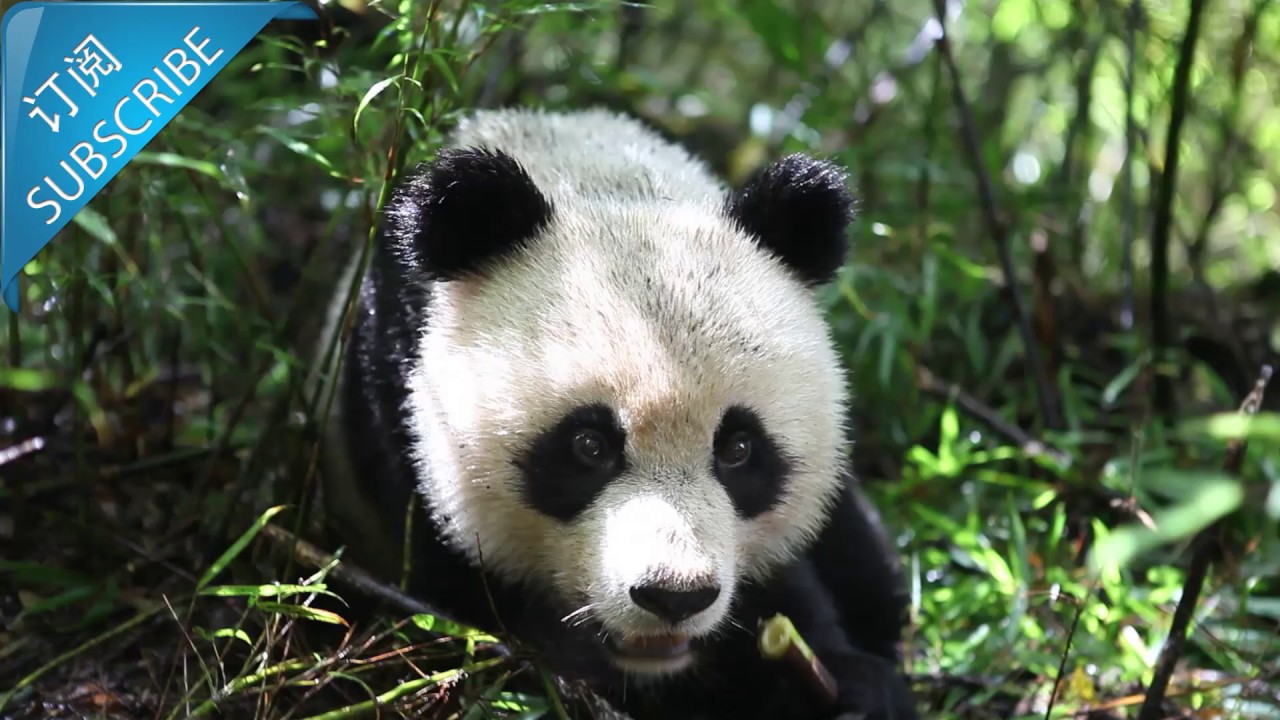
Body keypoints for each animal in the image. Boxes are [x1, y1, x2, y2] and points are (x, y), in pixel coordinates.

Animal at [310, 107, 920, 720]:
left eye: (740, 448)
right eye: (589, 445)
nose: (674, 596)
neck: (604, 188)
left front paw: (847, 685)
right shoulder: (396, 405)